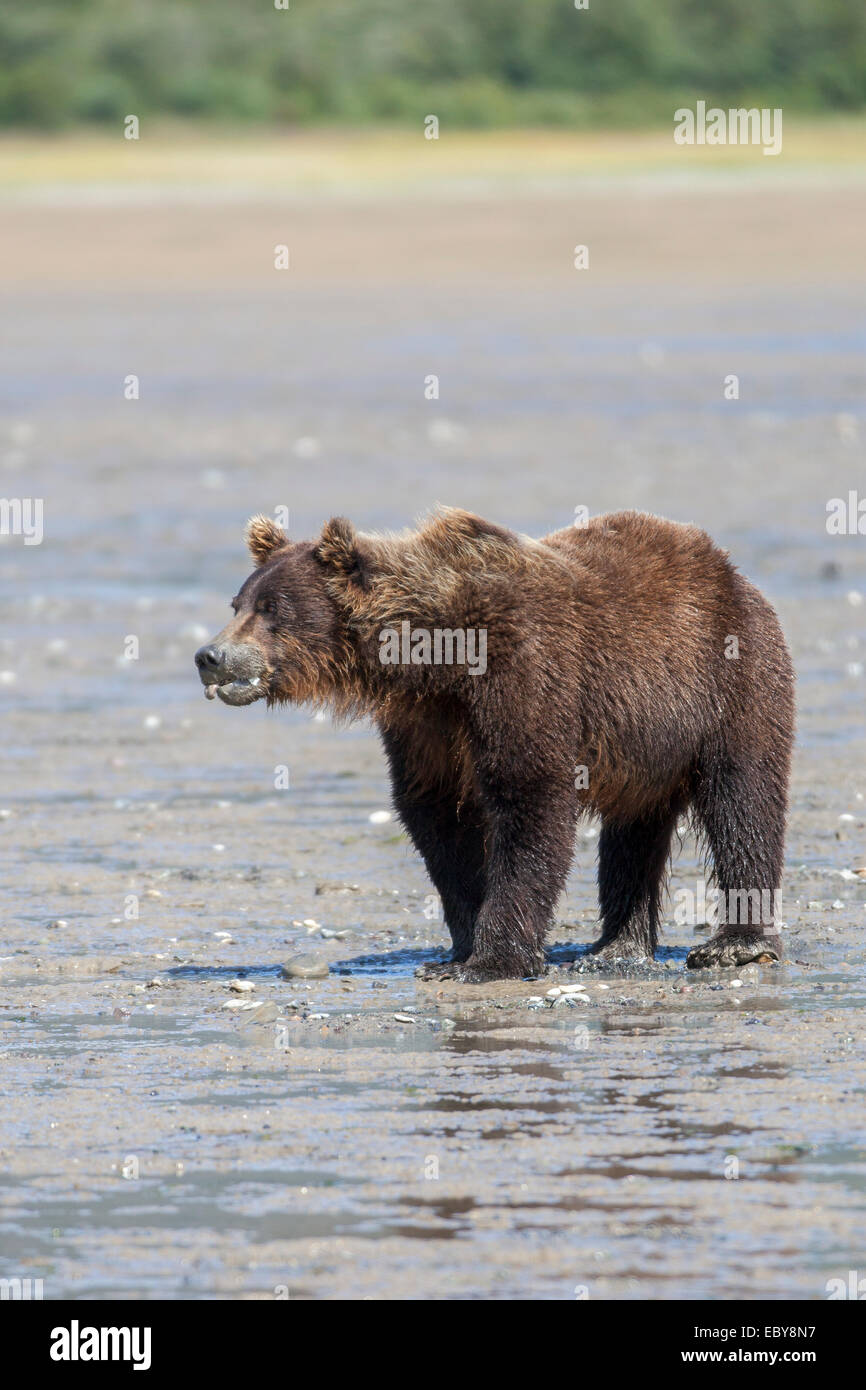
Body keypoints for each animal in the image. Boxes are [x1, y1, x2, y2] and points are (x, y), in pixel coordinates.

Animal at [194, 507, 795, 982]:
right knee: (634, 830)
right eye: (237, 603)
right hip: (646, 743)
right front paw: (456, 951)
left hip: (730, 680)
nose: (209, 656)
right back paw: (614, 950)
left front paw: (490, 960)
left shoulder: (521, 676)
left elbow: (528, 799)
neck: (433, 658)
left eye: (273, 608)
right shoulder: (426, 724)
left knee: (742, 799)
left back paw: (734, 946)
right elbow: (437, 819)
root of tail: (733, 573)